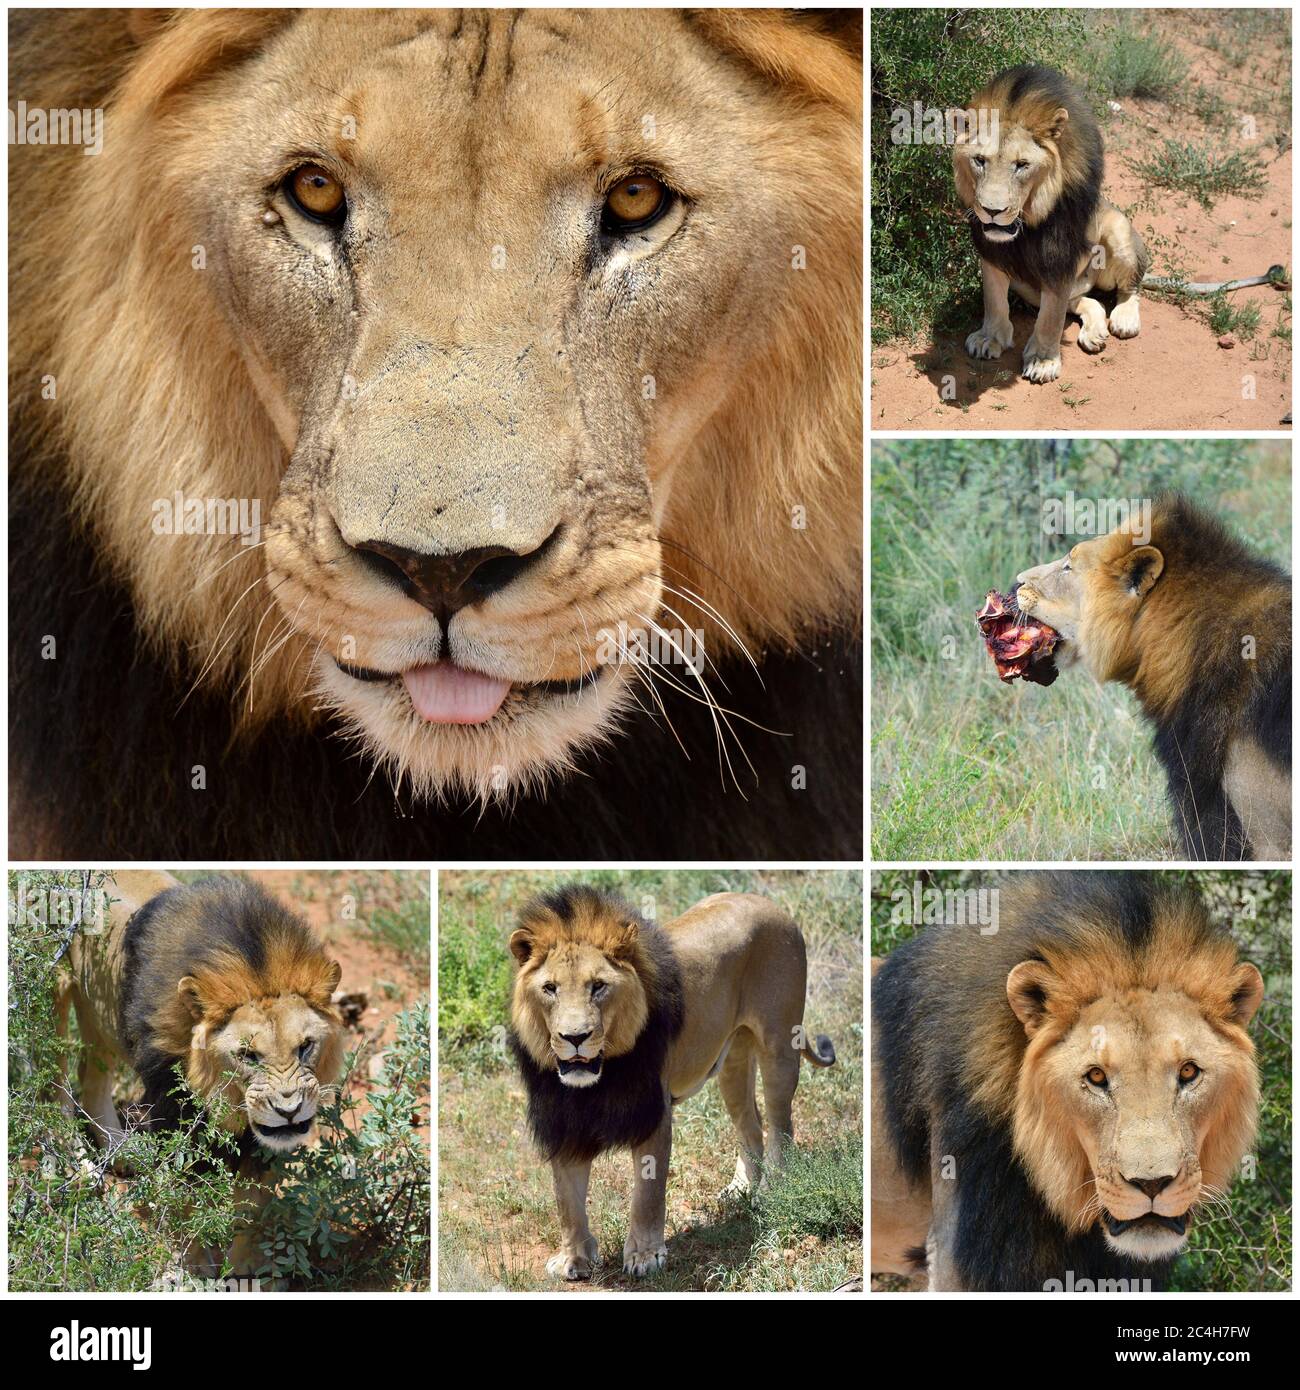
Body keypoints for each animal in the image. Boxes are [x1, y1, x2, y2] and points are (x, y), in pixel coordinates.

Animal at [55, 871, 345, 1272]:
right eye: (247, 1055)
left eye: (304, 1047)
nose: (288, 1112)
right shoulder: (174, 1113)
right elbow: (185, 1199)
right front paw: (192, 1270)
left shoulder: (262, 1143)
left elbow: (251, 1212)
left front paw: (244, 1273)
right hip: (55, 985)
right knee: (53, 1080)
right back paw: (76, 1166)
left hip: (99, 1010)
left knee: (92, 1076)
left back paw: (123, 1153)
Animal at [507, 885, 836, 1279]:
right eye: (550, 988)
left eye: (598, 986)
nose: (575, 1037)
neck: (597, 1078)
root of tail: (770, 904)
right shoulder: (561, 1119)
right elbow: (566, 1199)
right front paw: (574, 1259)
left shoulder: (654, 1113)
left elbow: (648, 1193)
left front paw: (645, 1256)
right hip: (734, 1059)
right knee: (751, 1125)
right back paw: (741, 1188)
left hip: (780, 1045)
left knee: (781, 1122)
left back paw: (772, 1188)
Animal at [951, 64, 1150, 383]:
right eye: (979, 160)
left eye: (1021, 165)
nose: (992, 211)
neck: (1029, 221)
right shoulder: (990, 249)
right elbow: (994, 298)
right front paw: (989, 338)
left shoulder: (1060, 255)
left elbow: (1051, 316)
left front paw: (1043, 360)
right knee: (1087, 301)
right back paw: (1094, 332)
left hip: (1118, 232)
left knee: (1129, 289)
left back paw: (1124, 319)